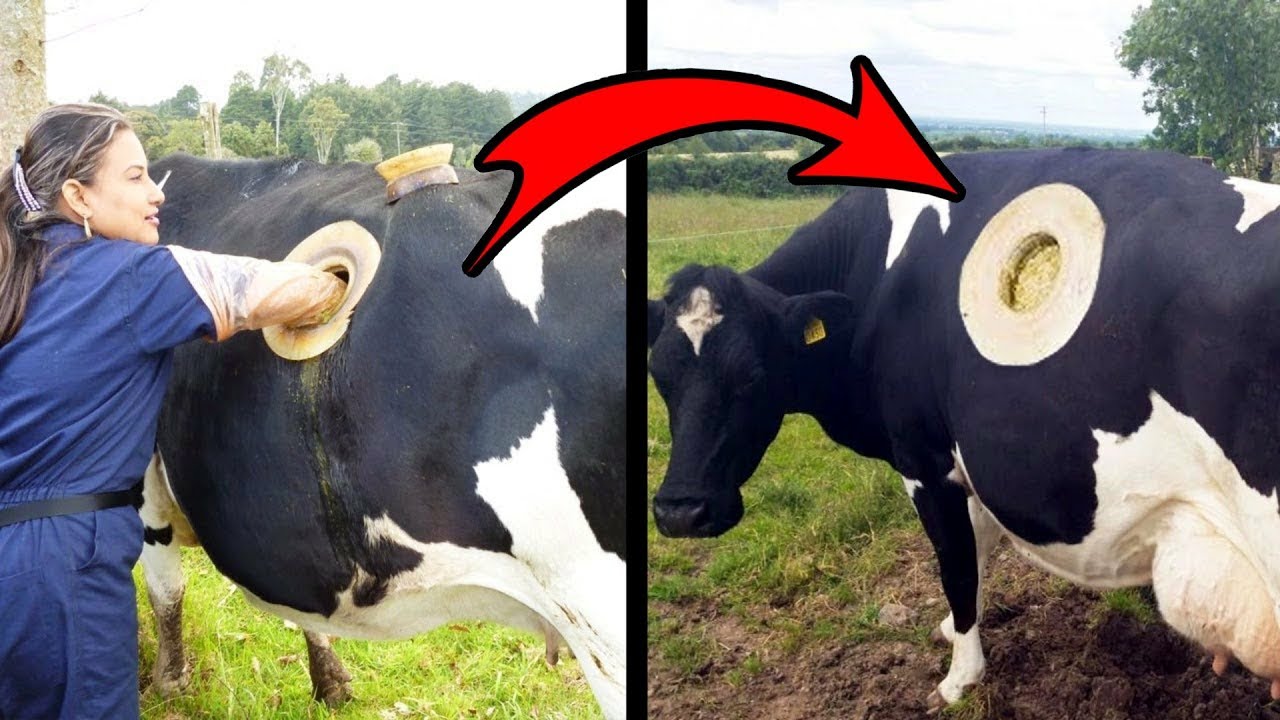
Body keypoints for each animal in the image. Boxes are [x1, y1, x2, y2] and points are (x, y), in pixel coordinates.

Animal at [646, 147, 1280, 711]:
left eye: (752, 376)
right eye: (657, 373)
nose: (680, 512)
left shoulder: (923, 462)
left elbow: (955, 563)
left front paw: (959, 680)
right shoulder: (961, 460)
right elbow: (978, 550)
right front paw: (955, 631)